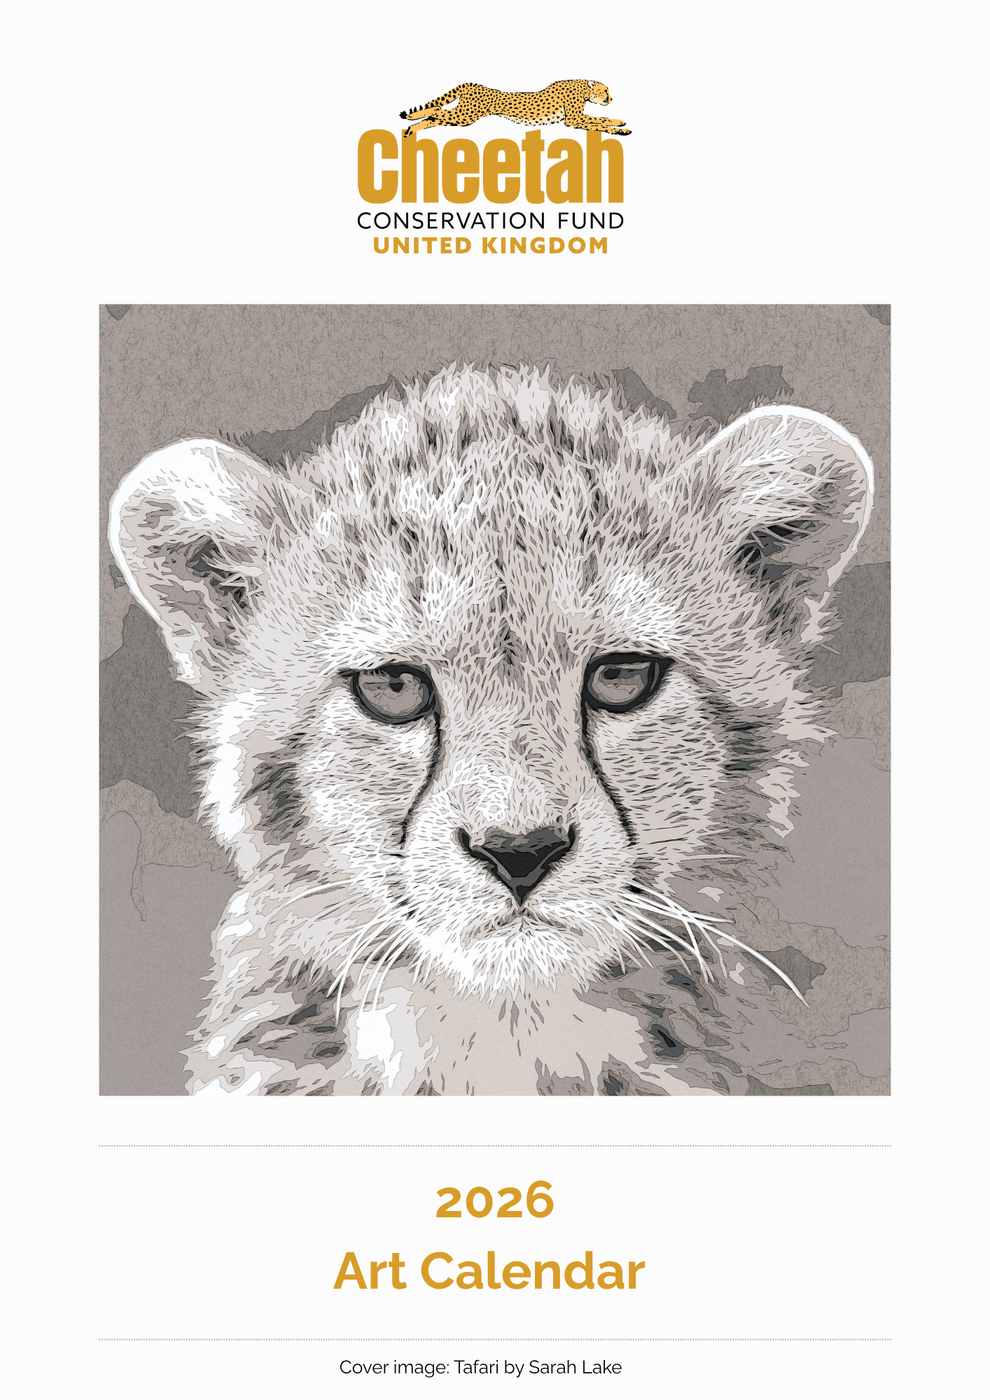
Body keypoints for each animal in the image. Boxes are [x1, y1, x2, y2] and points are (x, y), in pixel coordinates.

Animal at [398, 79, 630, 137]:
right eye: (605, 90)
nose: (611, 98)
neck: (583, 88)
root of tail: (473, 83)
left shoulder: (576, 117)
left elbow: (600, 118)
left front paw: (620, 123)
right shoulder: (573, 119)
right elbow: (598, 122)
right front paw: (619, 130)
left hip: (461, 116)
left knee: (435, 118)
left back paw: (410, 129)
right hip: (465, 115)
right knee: (436, 109)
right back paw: (412, 119)